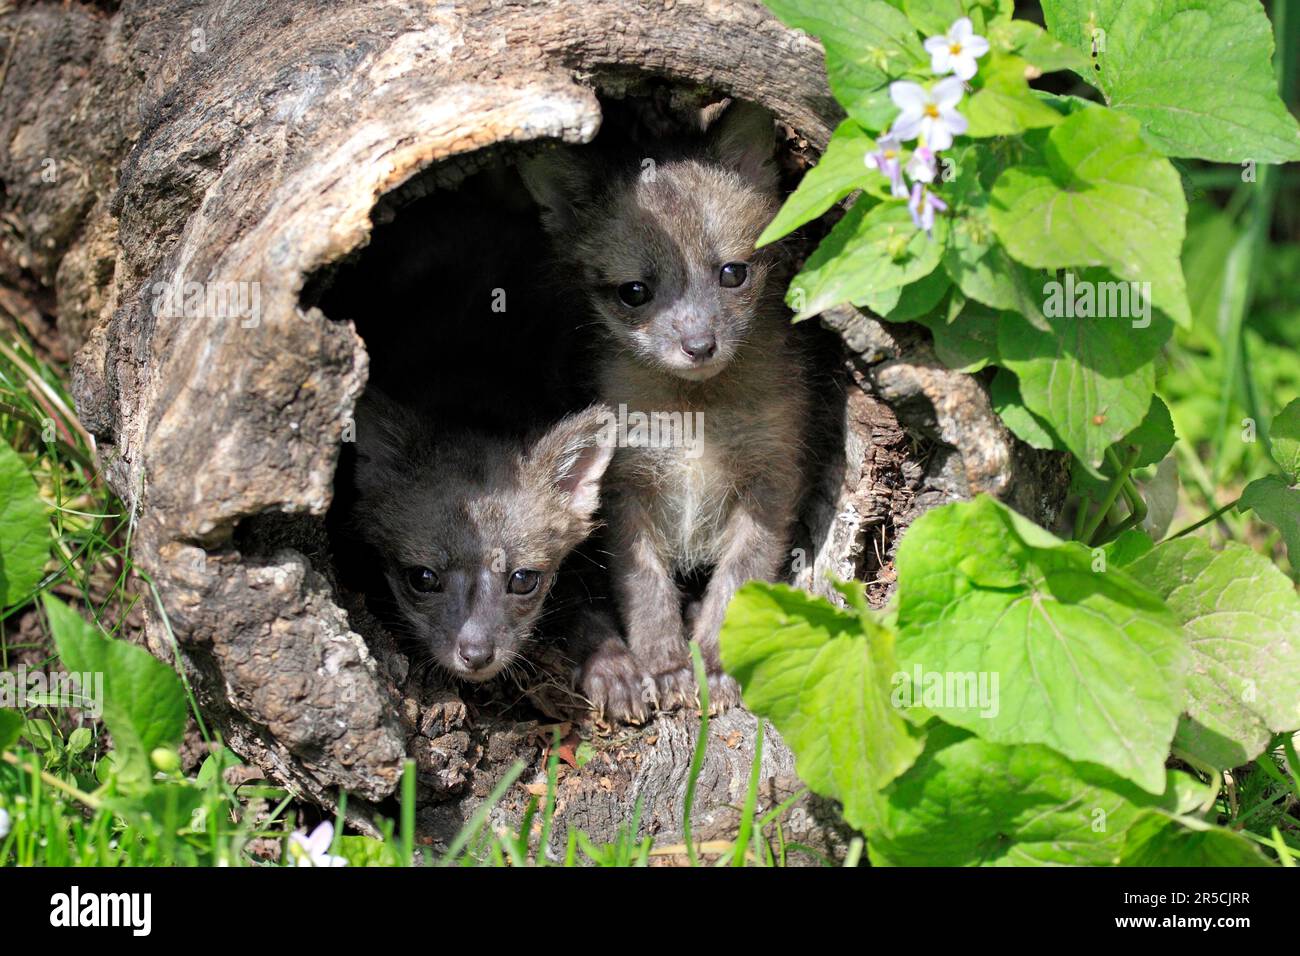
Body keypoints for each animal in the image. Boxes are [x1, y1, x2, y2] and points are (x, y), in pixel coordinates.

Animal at [520, 100, 810, 713]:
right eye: (635, 292)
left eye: (732, 273)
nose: (699, 345)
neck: (695, 415)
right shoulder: (625, 487)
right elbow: (644, 587)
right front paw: (666, 665)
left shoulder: (771, 476)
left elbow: (740, 579)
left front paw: (716, 663)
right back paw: (615, 672)